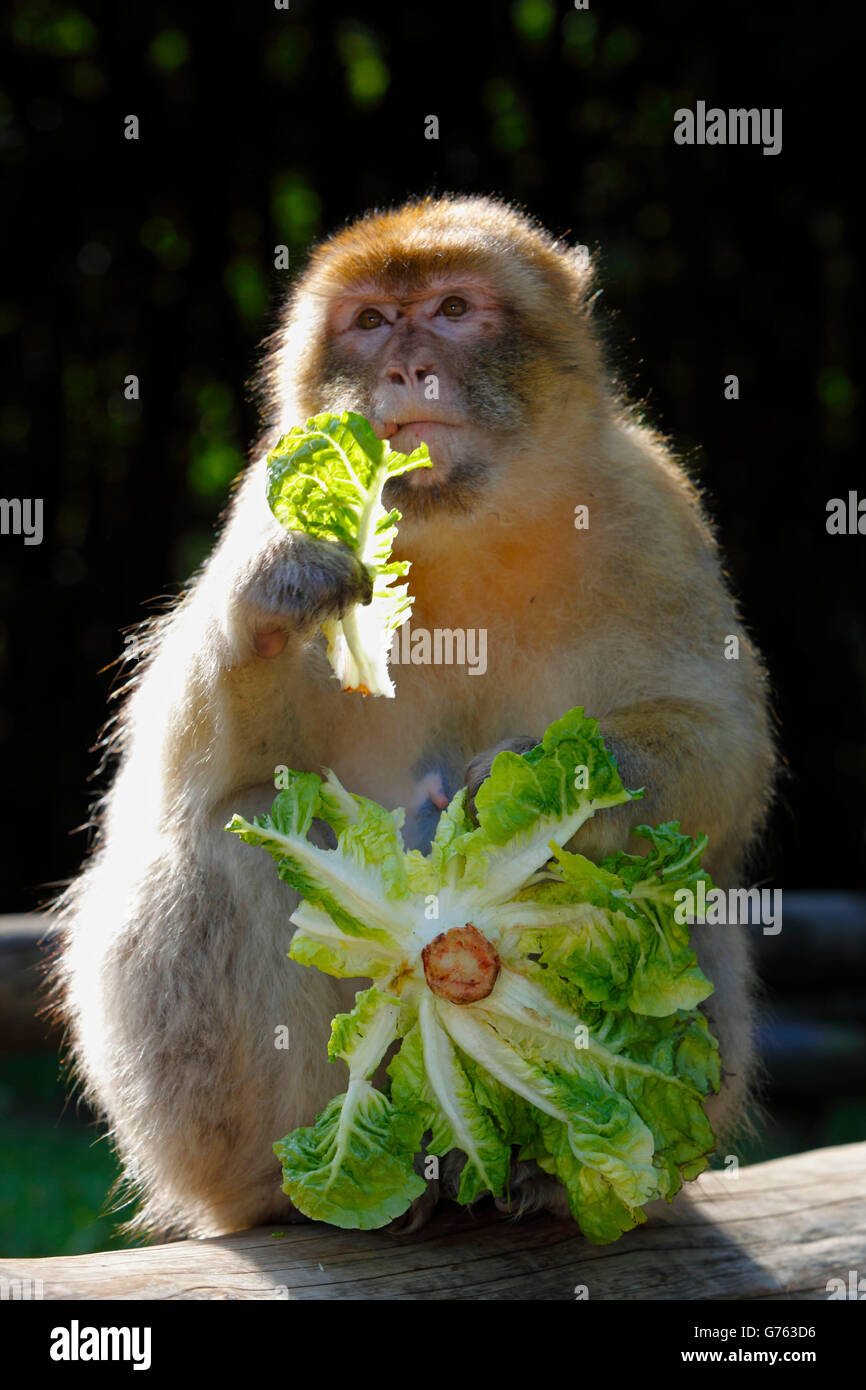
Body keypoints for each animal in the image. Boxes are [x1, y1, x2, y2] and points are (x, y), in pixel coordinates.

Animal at [51, 195, 775, 1239]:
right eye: (369, 322)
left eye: (452, 308)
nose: (404, 366)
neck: (466, 522)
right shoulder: (264, 493)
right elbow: (175, 780)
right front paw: (277, 593)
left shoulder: (654, 508)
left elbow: (721, 752)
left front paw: (544, 790)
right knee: (231, 843)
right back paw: (320, 1186)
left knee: (685, 880)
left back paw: (541, 1174)